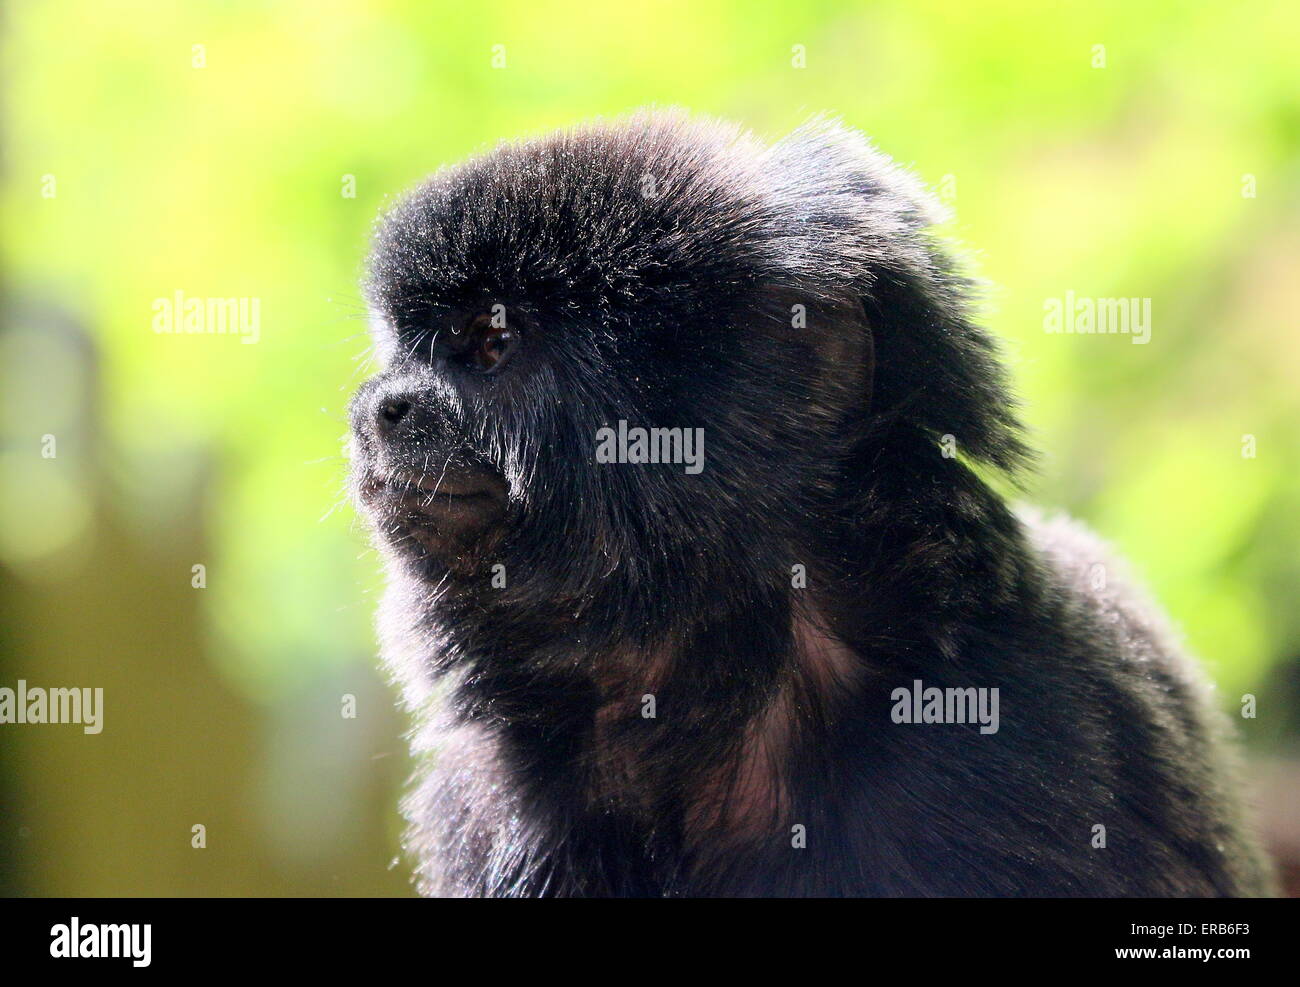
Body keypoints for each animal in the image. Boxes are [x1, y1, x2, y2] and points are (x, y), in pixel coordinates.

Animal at [349, 110, 1276, 897]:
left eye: (493, 341)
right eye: (404, 353)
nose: (380, 409)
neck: (720, 659)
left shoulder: (1004, 733)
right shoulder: (490, 802)